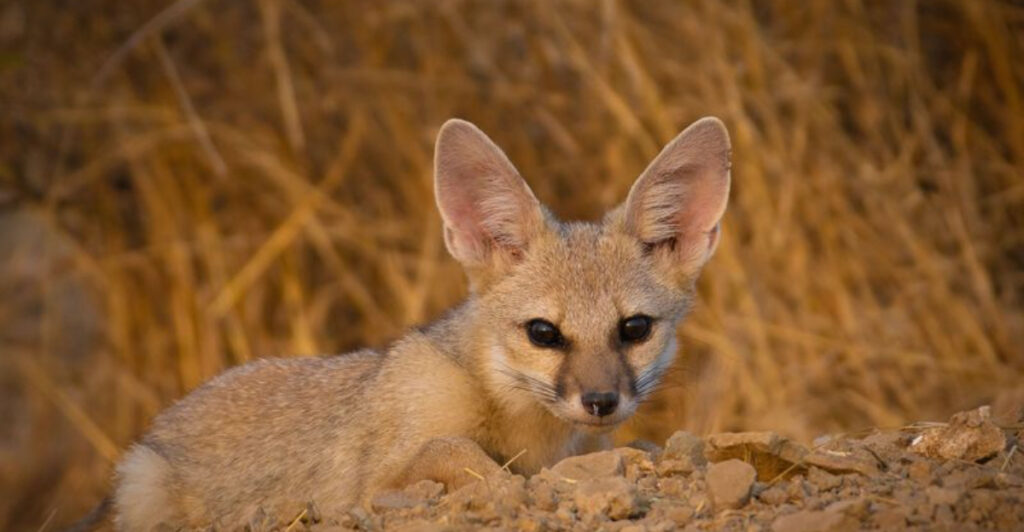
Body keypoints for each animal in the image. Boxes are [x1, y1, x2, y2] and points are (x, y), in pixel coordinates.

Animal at [98, 116, 731, 529]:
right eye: (543, 333)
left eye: (634, 329)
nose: (600, 402)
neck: (516, 422)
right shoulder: (370, 484)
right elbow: (452, 450)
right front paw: (499, 484)